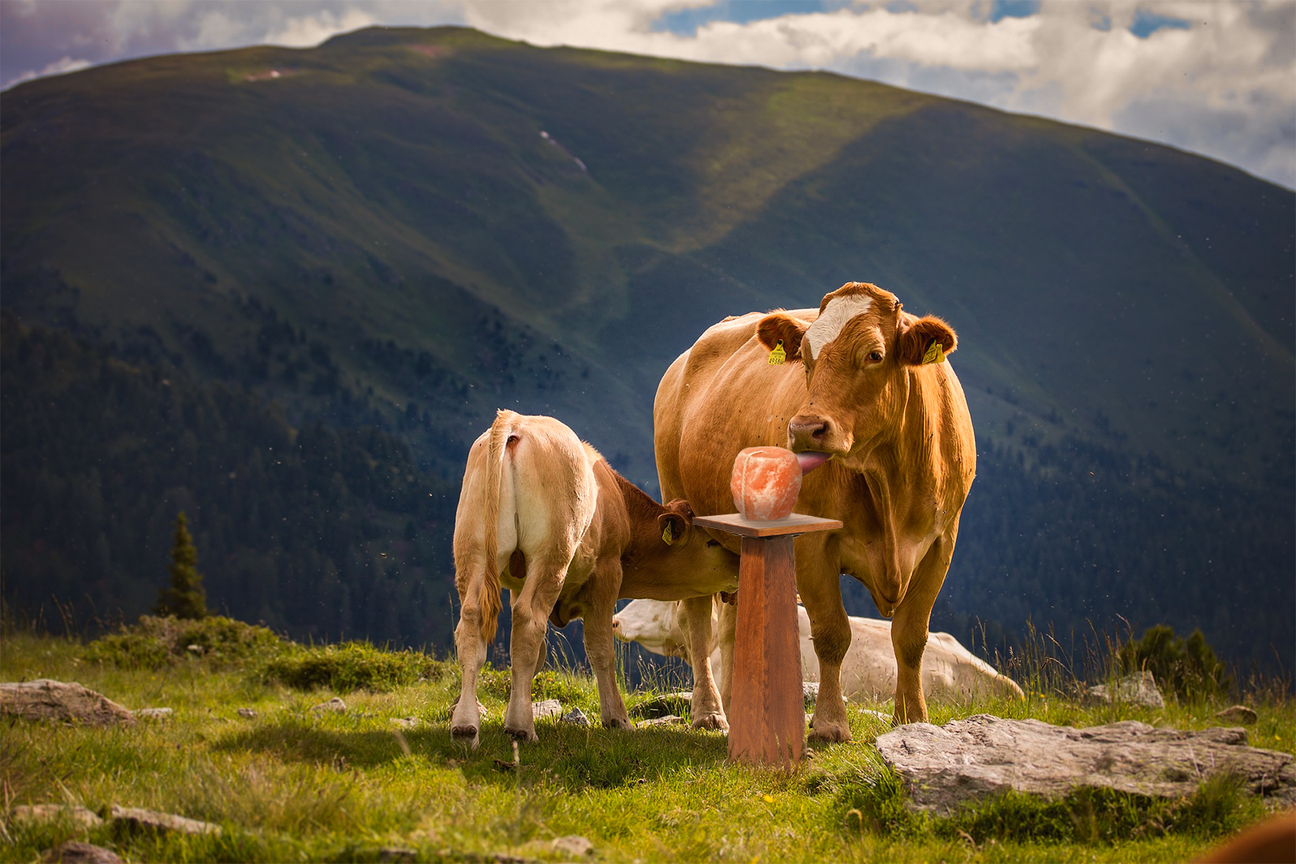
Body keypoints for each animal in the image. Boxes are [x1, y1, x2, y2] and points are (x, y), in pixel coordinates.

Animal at [451, 410, 736, 746]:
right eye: (713, 542)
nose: (739, 562)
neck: (619, 505)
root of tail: (516, 421)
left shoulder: (517, 584)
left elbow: (536, 657)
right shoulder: (607, 573)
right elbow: (600, 649)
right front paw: (617, 719)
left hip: (474, 551)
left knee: (472, 621)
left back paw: (465, 725)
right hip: (551, 554)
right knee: (528, 620)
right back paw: (521, 728)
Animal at [654, 281, 976, 740]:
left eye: (874, 354)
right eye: (805, 356)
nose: (806, 428)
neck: (888, 480)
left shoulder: (941, 542)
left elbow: (911, 635)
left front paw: (913, 718)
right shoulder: (811, 544)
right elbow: (831, 633)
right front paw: (828, 724)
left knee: (734, 621)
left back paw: (737, 708)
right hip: (683, 512)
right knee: (697, 619)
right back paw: (709, 712)